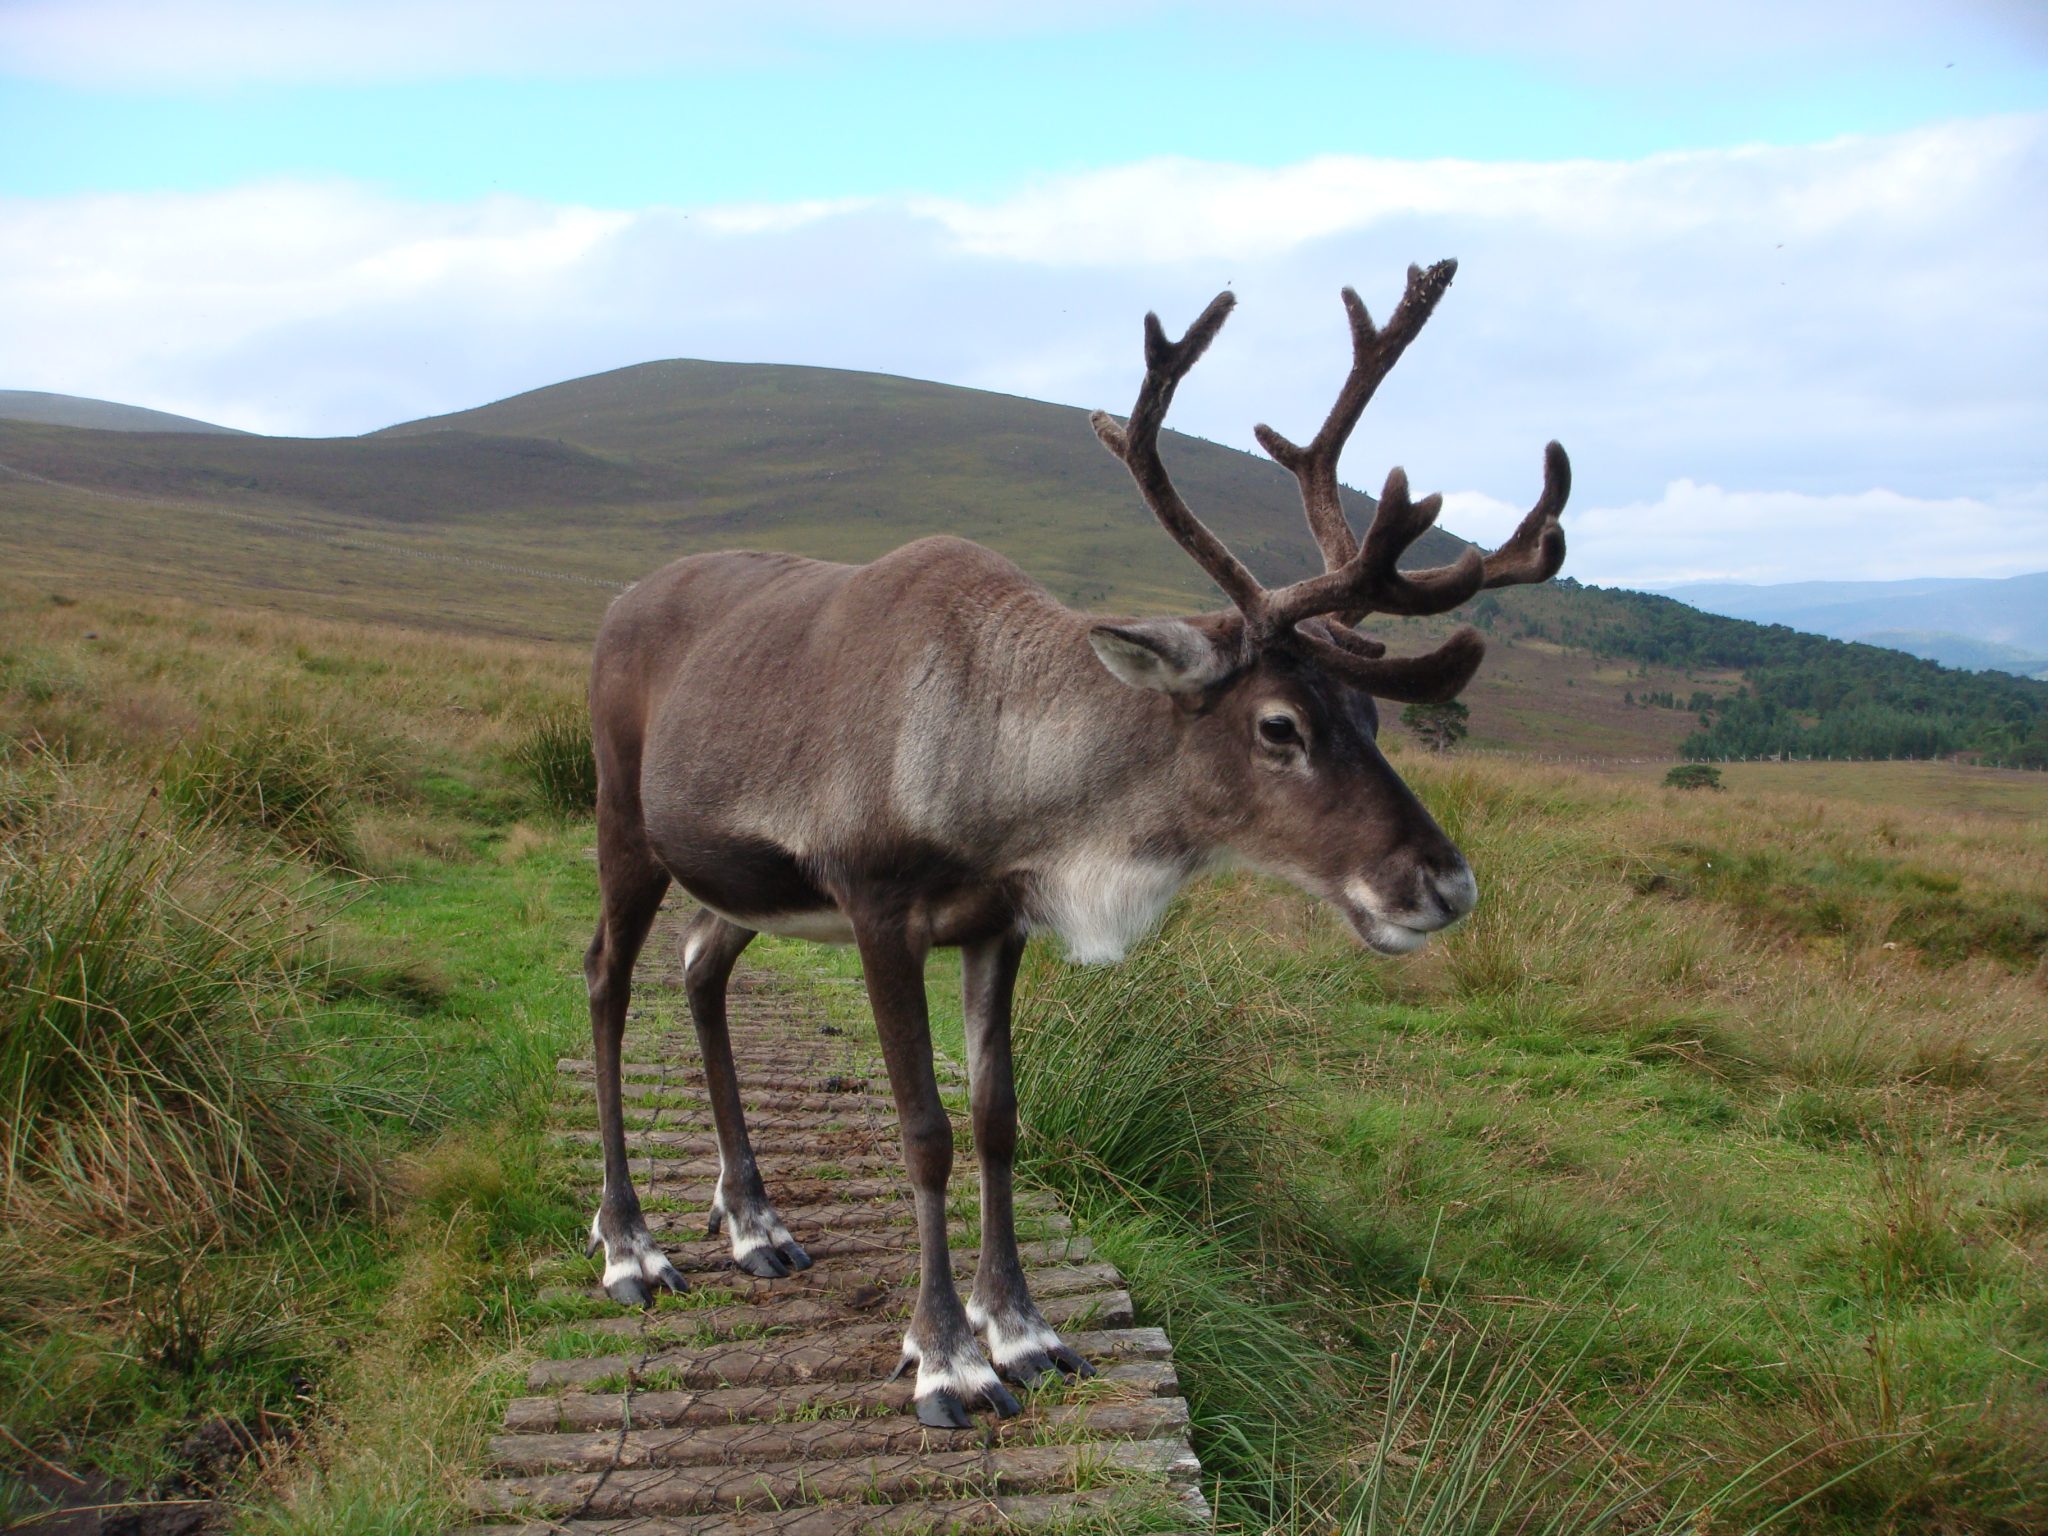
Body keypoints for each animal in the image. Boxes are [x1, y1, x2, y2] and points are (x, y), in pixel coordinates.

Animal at [582, 258, 1570, 1427]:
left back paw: (754, 1223)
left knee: (700, 970)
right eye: (1278, 726)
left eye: (1373, 717)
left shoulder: (997, 922)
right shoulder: (878, 910)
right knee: (605, 978)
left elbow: (997, 1115)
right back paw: (630, 1246)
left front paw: (1022, 1329)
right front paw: (947, 1357)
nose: (1444, 883)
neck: (1005, 766)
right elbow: (923, 1129)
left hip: (737, 882)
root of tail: (620, 601)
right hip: (623, 824)